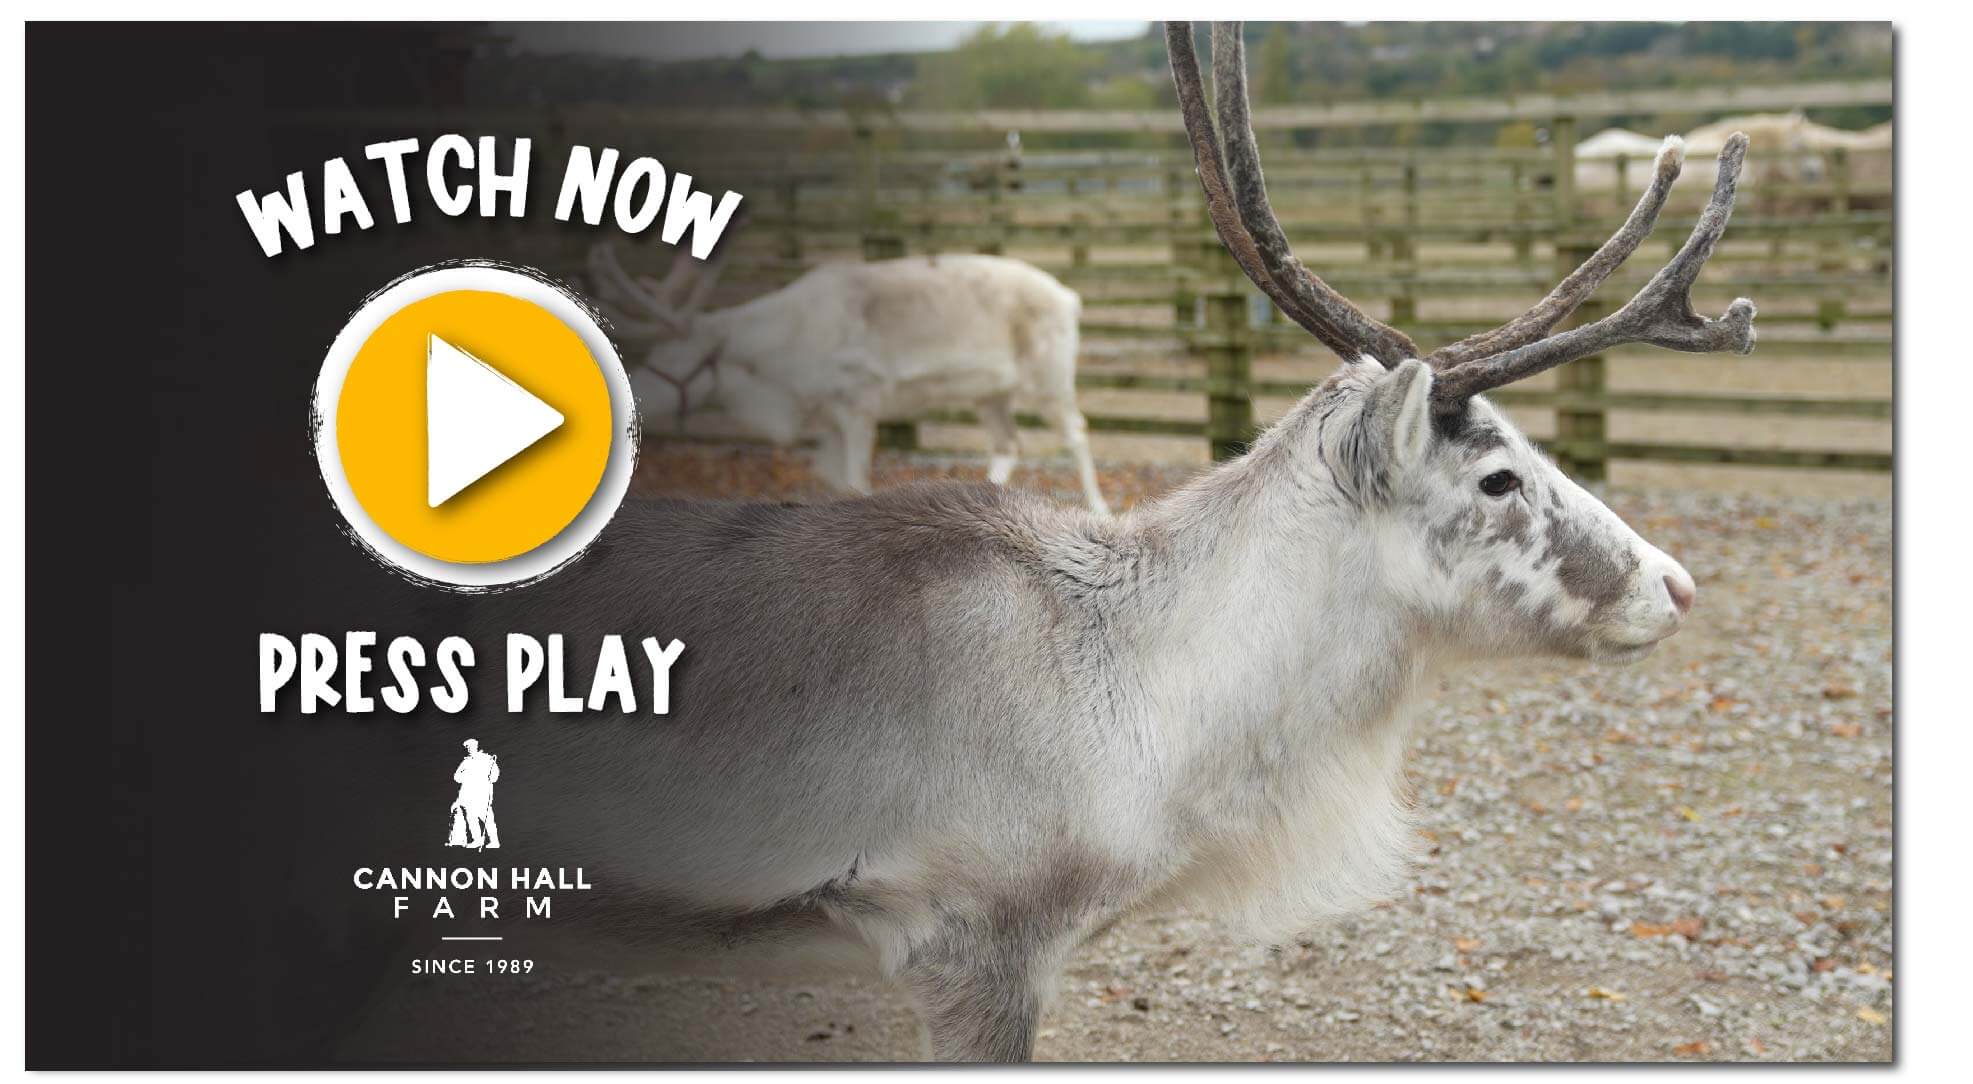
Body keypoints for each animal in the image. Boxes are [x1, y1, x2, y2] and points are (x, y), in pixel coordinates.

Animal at [587, 240, 1111, 514]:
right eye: (657, 351)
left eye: (684, 360)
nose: (634, 393)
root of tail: (1071, 298)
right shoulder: (825, 423)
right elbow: (836, 484)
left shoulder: (859, 403)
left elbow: (858, 481)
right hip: (989, 392)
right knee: (1006, 444)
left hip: (1048, 378)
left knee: (1078, 431)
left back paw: (1099, 508)